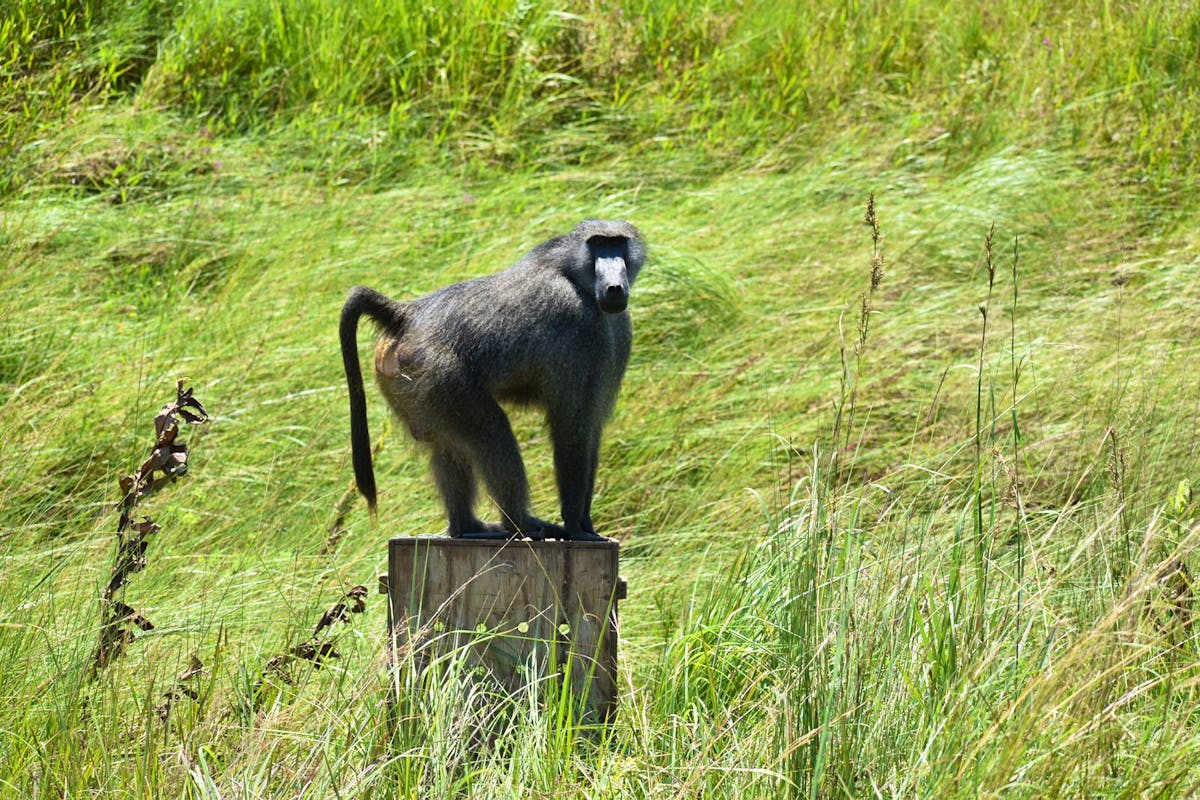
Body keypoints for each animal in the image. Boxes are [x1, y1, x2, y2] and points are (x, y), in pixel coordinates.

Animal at [340, 219, 645, 542]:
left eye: (618, 243)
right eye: (597, 243)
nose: (614, 287)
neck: (575, 278)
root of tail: (408, 315)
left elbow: (592, 428)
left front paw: (587, 524)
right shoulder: (576, 323)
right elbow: (572, 427)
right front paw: (576, 526)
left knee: (448, 445)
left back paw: (467, 527)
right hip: (436, 372)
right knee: (493, 433)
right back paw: (520, 523)